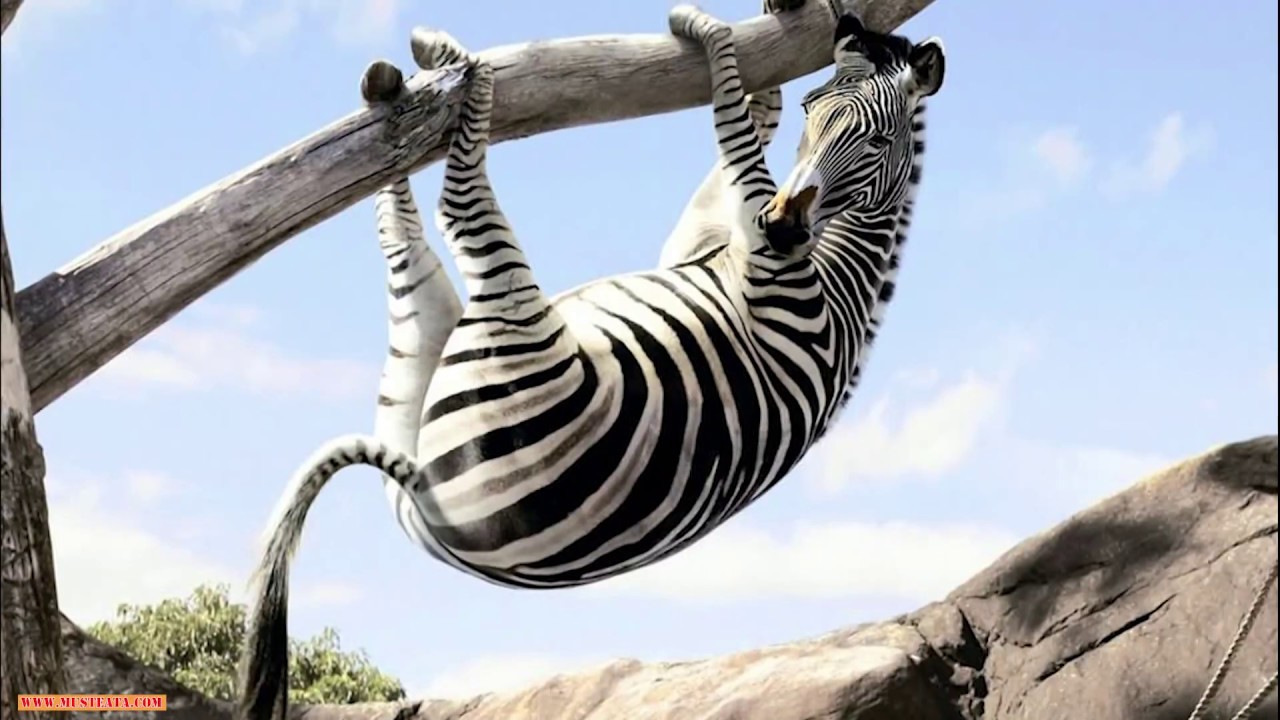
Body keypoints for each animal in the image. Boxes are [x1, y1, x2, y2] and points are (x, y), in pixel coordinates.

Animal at [238, 3, 945, 718]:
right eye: (813, 108)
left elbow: (735, 136)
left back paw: (457, 67)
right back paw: (393, 100)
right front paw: (758, 41)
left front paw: (703, 27)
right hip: (416, 362)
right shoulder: (698, 241)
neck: (838, 275)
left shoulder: (767, 269)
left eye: (877, 141)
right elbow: (744, 126)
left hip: (507, 325)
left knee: (456, 205)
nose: (782, 229)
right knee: (400, 230)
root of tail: (428, 499)